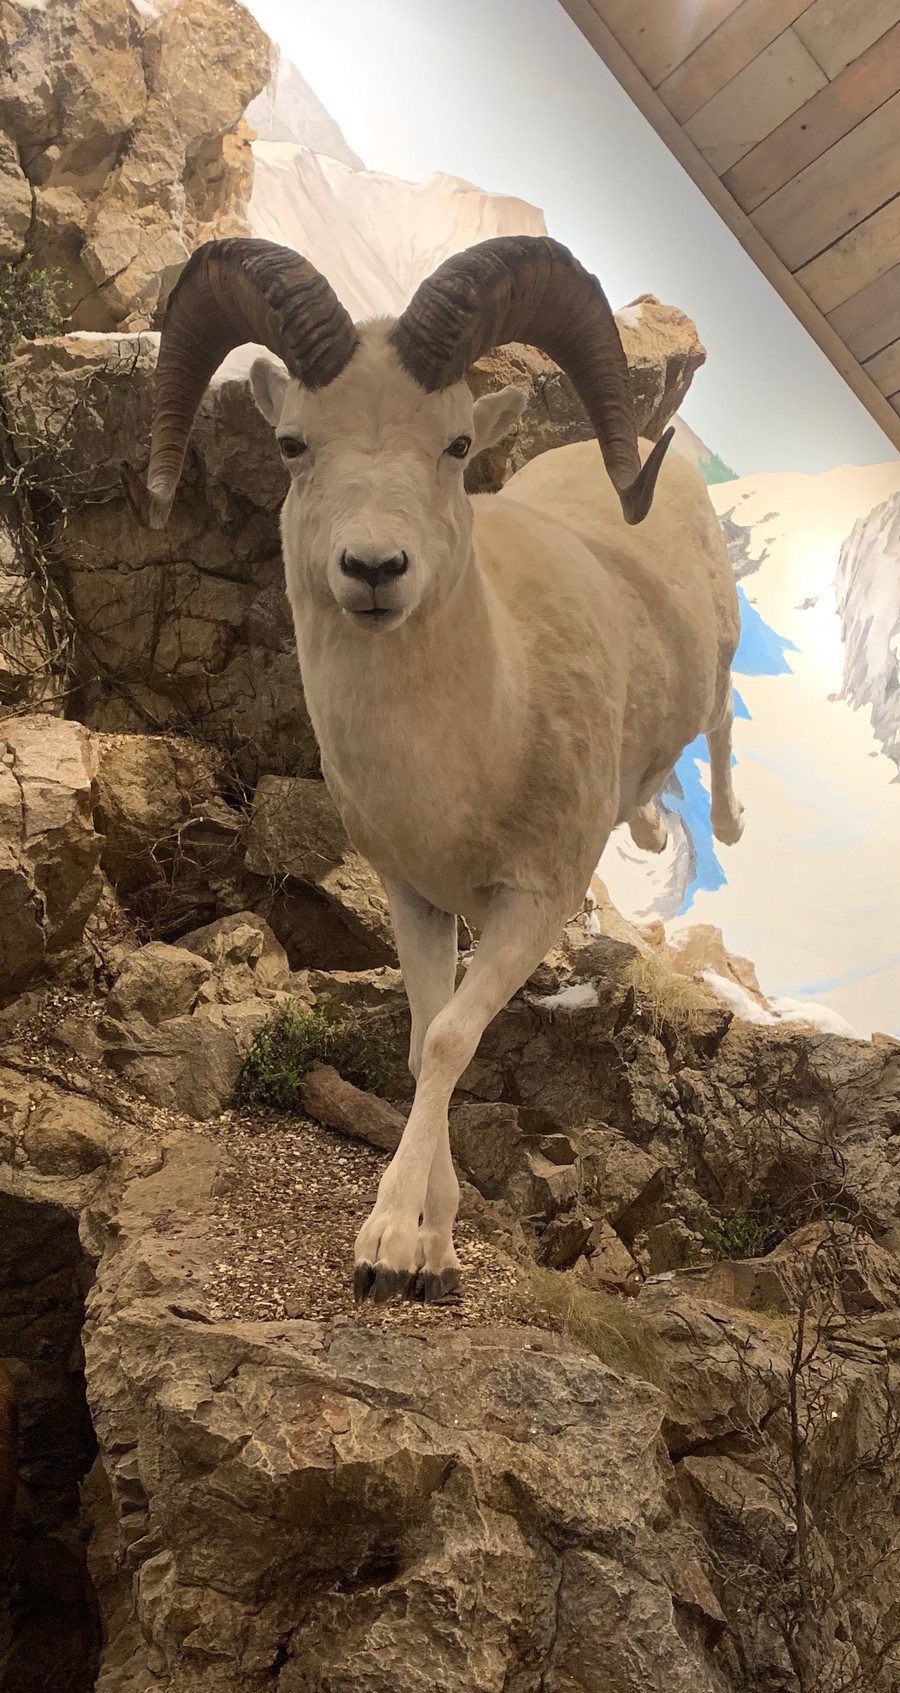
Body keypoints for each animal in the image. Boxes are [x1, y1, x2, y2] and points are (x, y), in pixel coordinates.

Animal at [123, 234, 744, 1304]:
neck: (474, 750)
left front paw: (385, 1252)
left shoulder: (531, 905)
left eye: (454, 446)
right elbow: (422, 1046)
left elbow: (456, 1038)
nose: (375, 570)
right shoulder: (417, 898)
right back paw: (651, 821)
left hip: (726, 658)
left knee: (723, 726)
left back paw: (727, 822)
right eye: (294, 444)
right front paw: (434, 1253)